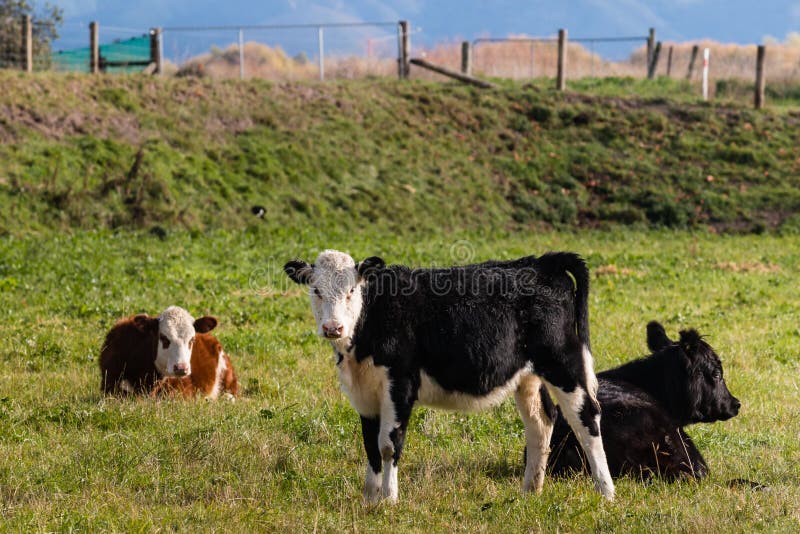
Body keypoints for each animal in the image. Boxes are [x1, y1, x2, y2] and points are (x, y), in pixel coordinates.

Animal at [284, 250, 615, 503]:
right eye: (316, 291)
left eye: (351, 291)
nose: (333, 328)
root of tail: (544, 262)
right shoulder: (365, 393)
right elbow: (370, 446)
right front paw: (369, 498)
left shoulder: (400, 384)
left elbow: (389, 444)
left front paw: (388, 499)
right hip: (528, 377)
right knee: (541, 423)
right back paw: (530, 491)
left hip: (563, 363)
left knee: (586, 418)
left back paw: (606, 492)